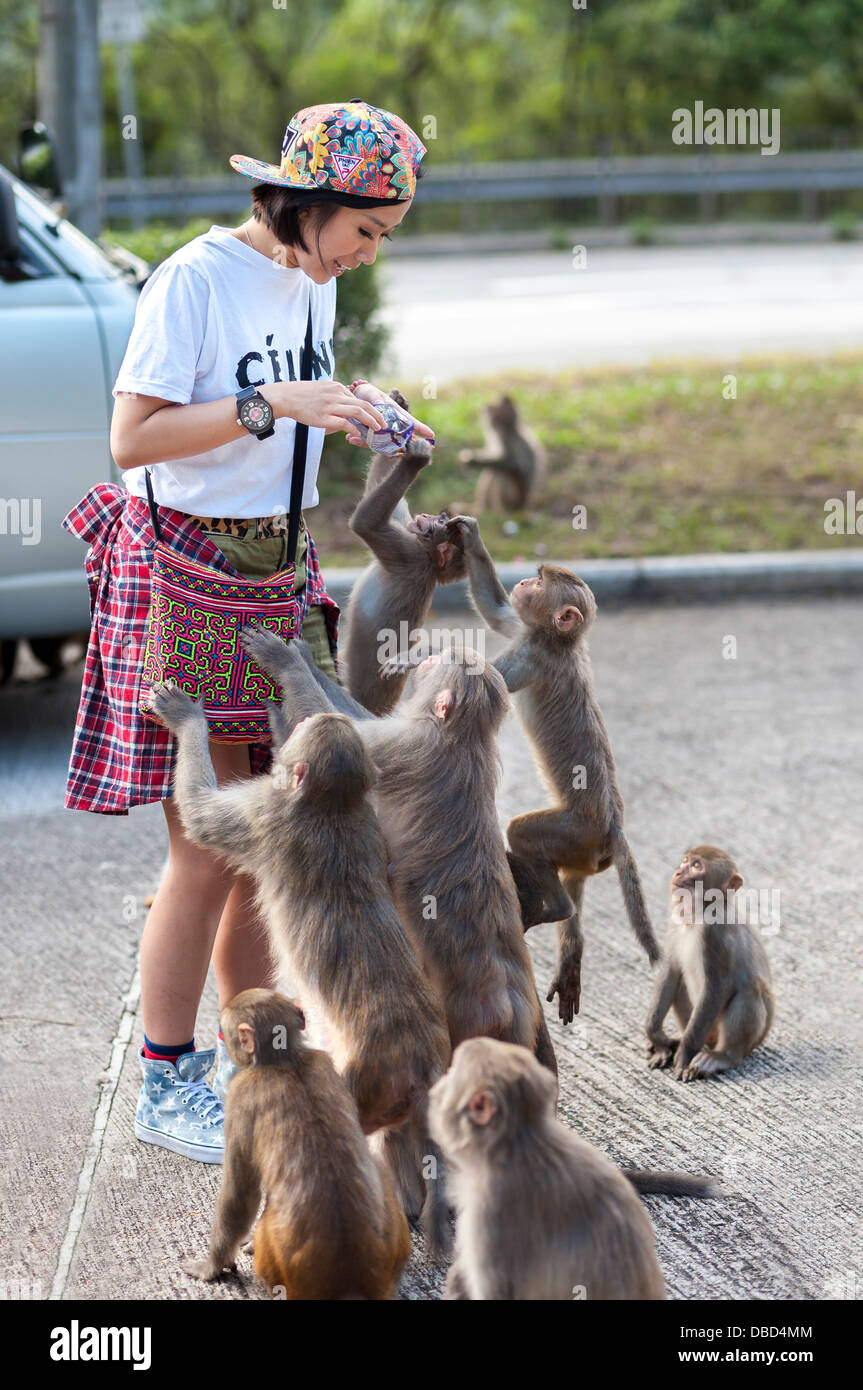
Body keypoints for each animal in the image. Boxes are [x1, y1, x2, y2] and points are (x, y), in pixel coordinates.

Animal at [146, 684, 452, 1251]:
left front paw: (189, 718)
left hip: (360, 1085)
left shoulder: (263, 816)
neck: (333, 806)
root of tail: (419, 1061)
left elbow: (200, 814)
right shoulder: (365, 821)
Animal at [182, 990, 411, 1298]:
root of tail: (352, 1281)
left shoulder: (240, 1094)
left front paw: (211, 1266)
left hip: (275, 1262)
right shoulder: (326, 1063)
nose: (229, 1048)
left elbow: (240, 1194)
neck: (285, 1060)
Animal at [340, 387, 467, 715]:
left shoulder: (408, 553)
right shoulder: (409, 535)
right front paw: (398, 408)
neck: (430, 560)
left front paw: (415, 459)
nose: (433, 516)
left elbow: (365, 523)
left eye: (442, 523)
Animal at [450, 515, 660, 1024]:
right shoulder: (525, 630)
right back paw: (571, 945)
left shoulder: (534, 654)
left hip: (574, 830)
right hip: (583, 850)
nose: (526, 581)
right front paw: (469, 535)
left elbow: (490, 680)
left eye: (541, 582)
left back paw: (558, 907)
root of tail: (613, 826)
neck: (559, 639)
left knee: (523, 833)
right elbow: (497, 611)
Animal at [646, 846, 775, 1081]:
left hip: (740, 1037)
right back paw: (676, 1041)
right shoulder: (675, 920)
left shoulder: (715, 934)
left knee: (752, 989)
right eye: (685, 861)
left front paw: (684, 1055)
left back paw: (721, 1057)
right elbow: (671, 972)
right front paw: (658, 1039)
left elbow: (716, 987)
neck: (697, 915)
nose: (678, 872)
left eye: (697, 866)